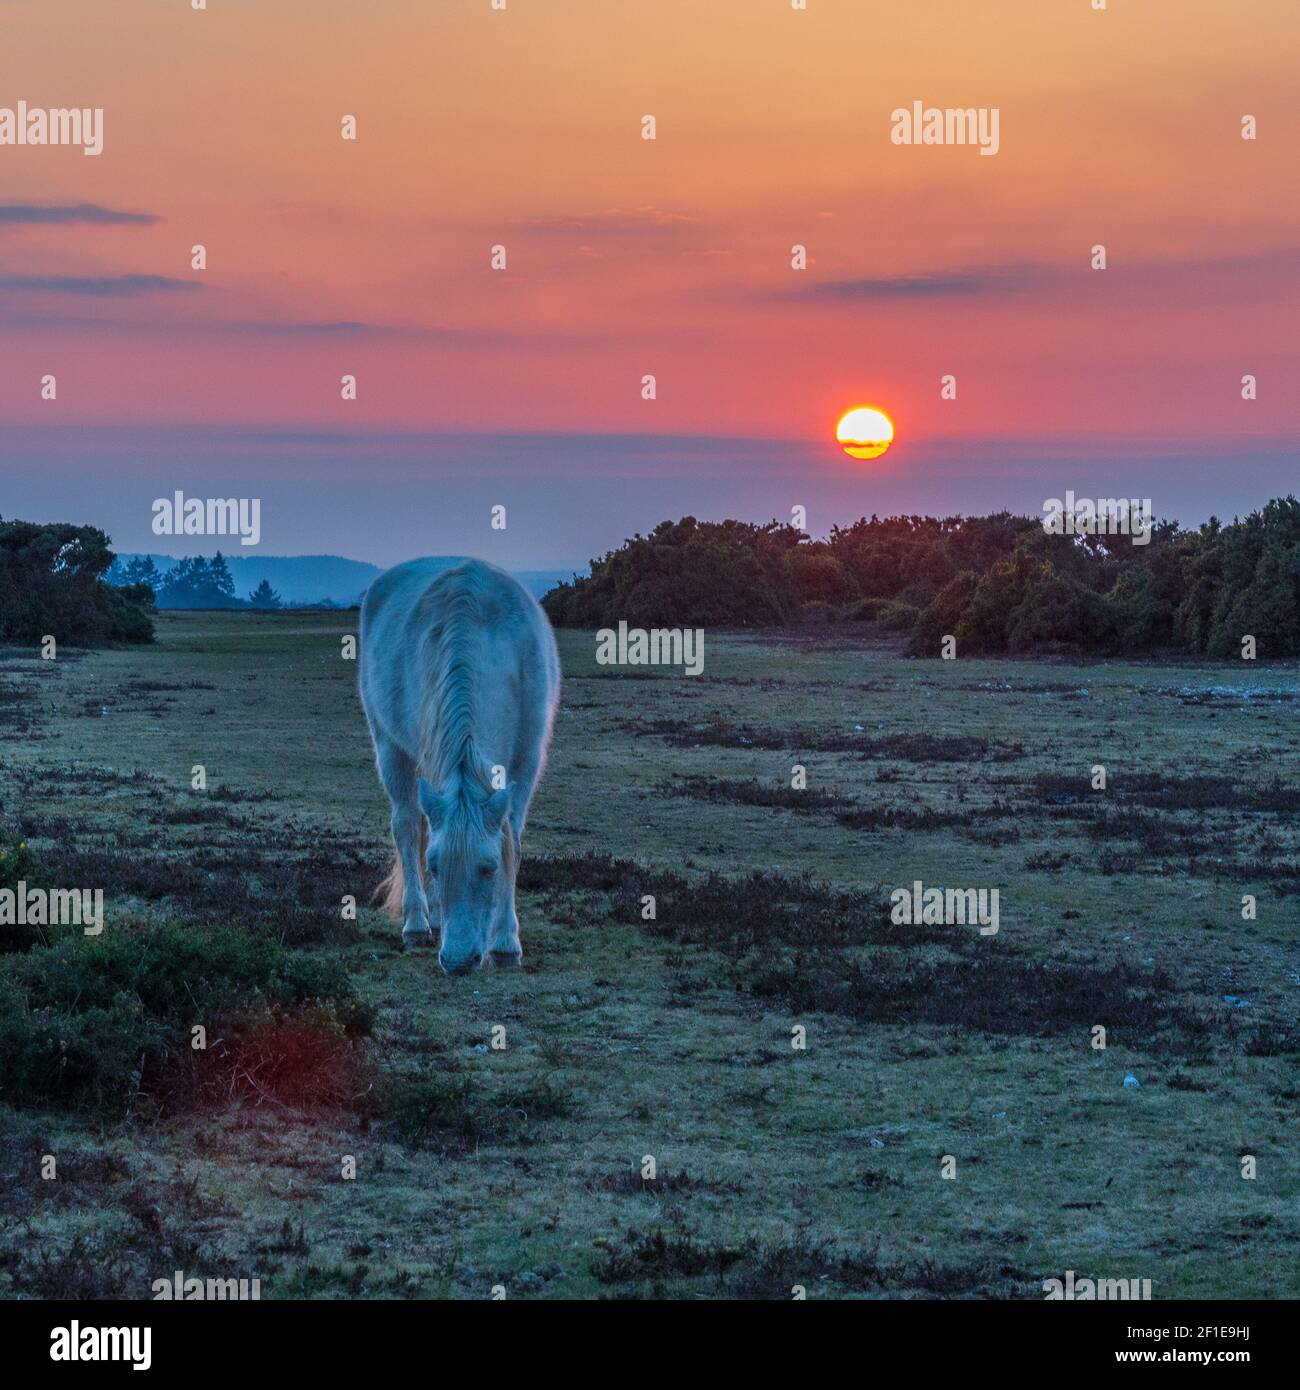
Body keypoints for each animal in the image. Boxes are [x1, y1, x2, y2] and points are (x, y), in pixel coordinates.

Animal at [358, 558, 560, 973]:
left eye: (488, 868)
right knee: (407, 827)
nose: (457, 960)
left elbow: (512, 841)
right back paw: (419, 922)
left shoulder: (527, 761)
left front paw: (506, 942)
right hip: (391, 748)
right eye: (435, 866)